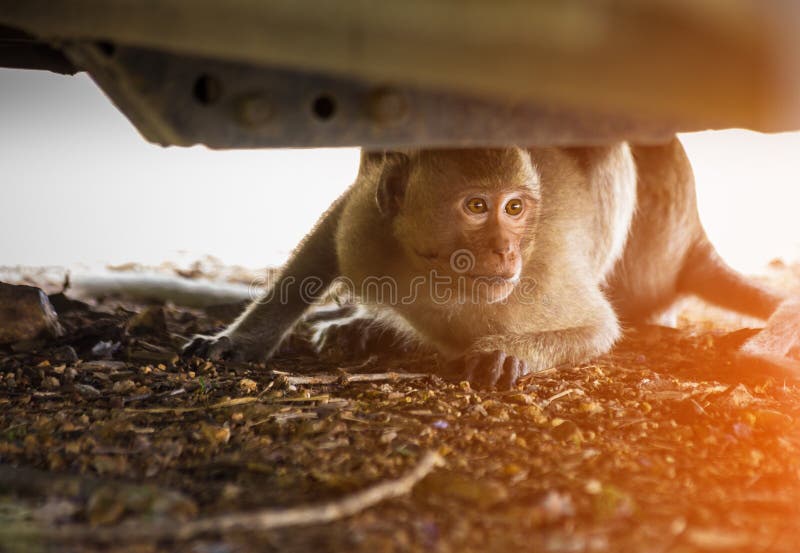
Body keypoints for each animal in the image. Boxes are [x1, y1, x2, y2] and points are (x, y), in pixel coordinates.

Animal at [181, 138, 796, 389]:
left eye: (515, 208)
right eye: (477, 207)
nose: (506, 251)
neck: (437, 276)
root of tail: (691, 234)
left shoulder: (539, 284)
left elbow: (598, 329)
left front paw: (510, 354)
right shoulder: (368, 227)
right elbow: (327, 240)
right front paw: (241, 340)